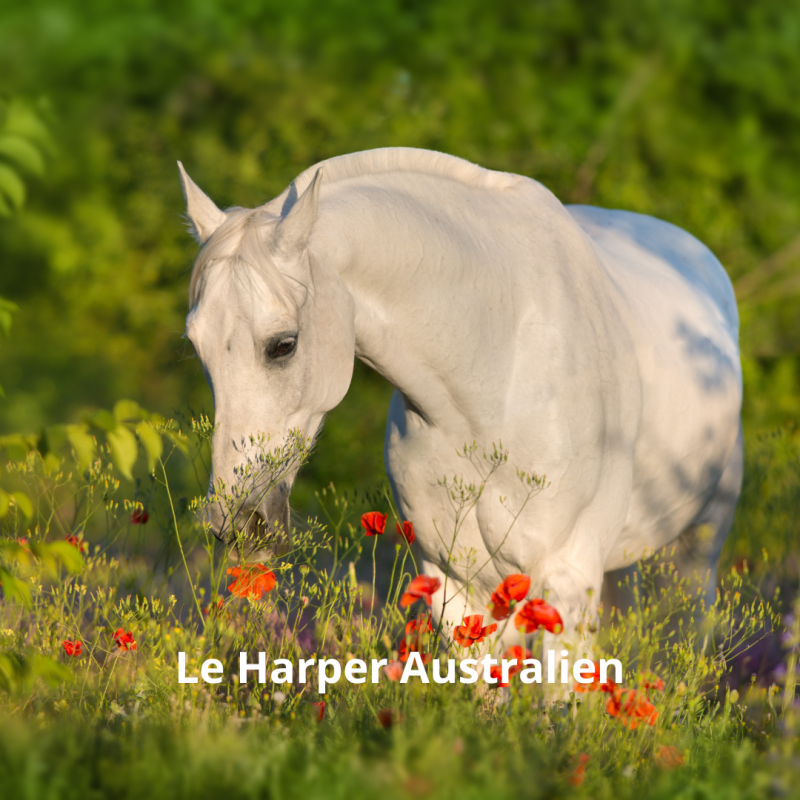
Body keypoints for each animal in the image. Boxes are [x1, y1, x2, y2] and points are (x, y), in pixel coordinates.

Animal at [179, 147, 742, 657]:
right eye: (196, 348)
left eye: (283, 345)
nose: (236, 521)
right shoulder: (455, 583)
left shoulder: (567, 576)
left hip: (699, 546)